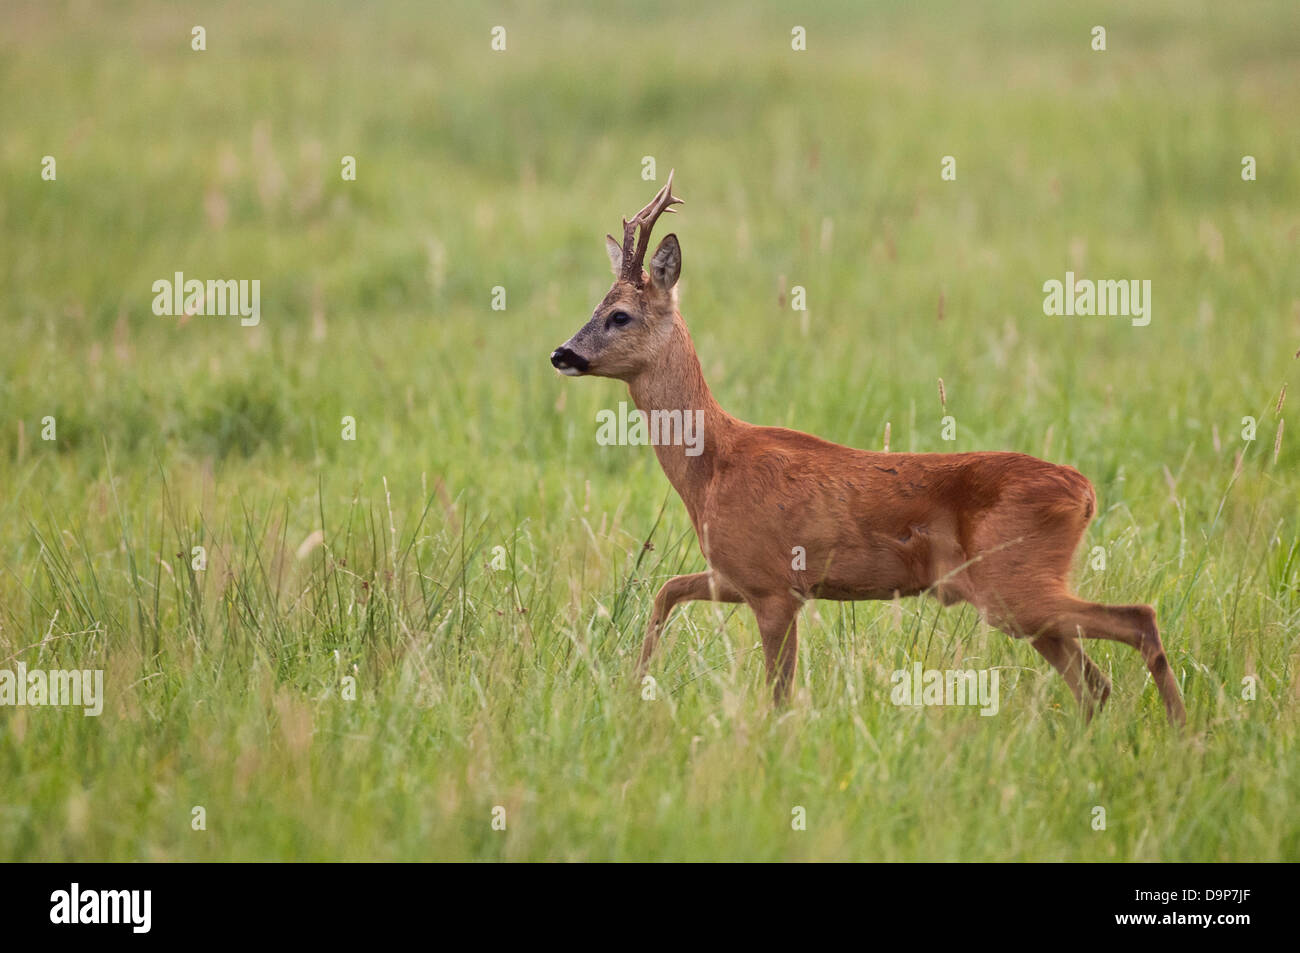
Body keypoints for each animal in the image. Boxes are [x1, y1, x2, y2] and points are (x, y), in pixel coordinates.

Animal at [550, 172, 1187, 727]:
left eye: (619, 315)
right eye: (594, 307)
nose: (561, 353)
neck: (712, 466)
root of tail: (1086, 493)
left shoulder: (776, 589)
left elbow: (778, 695)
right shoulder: (738, 574)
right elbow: (664, 592)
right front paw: (633, 685)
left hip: (1014, 583)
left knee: (1138, 620)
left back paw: (1185, 736)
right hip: (1022, 598)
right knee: (1096, 683)